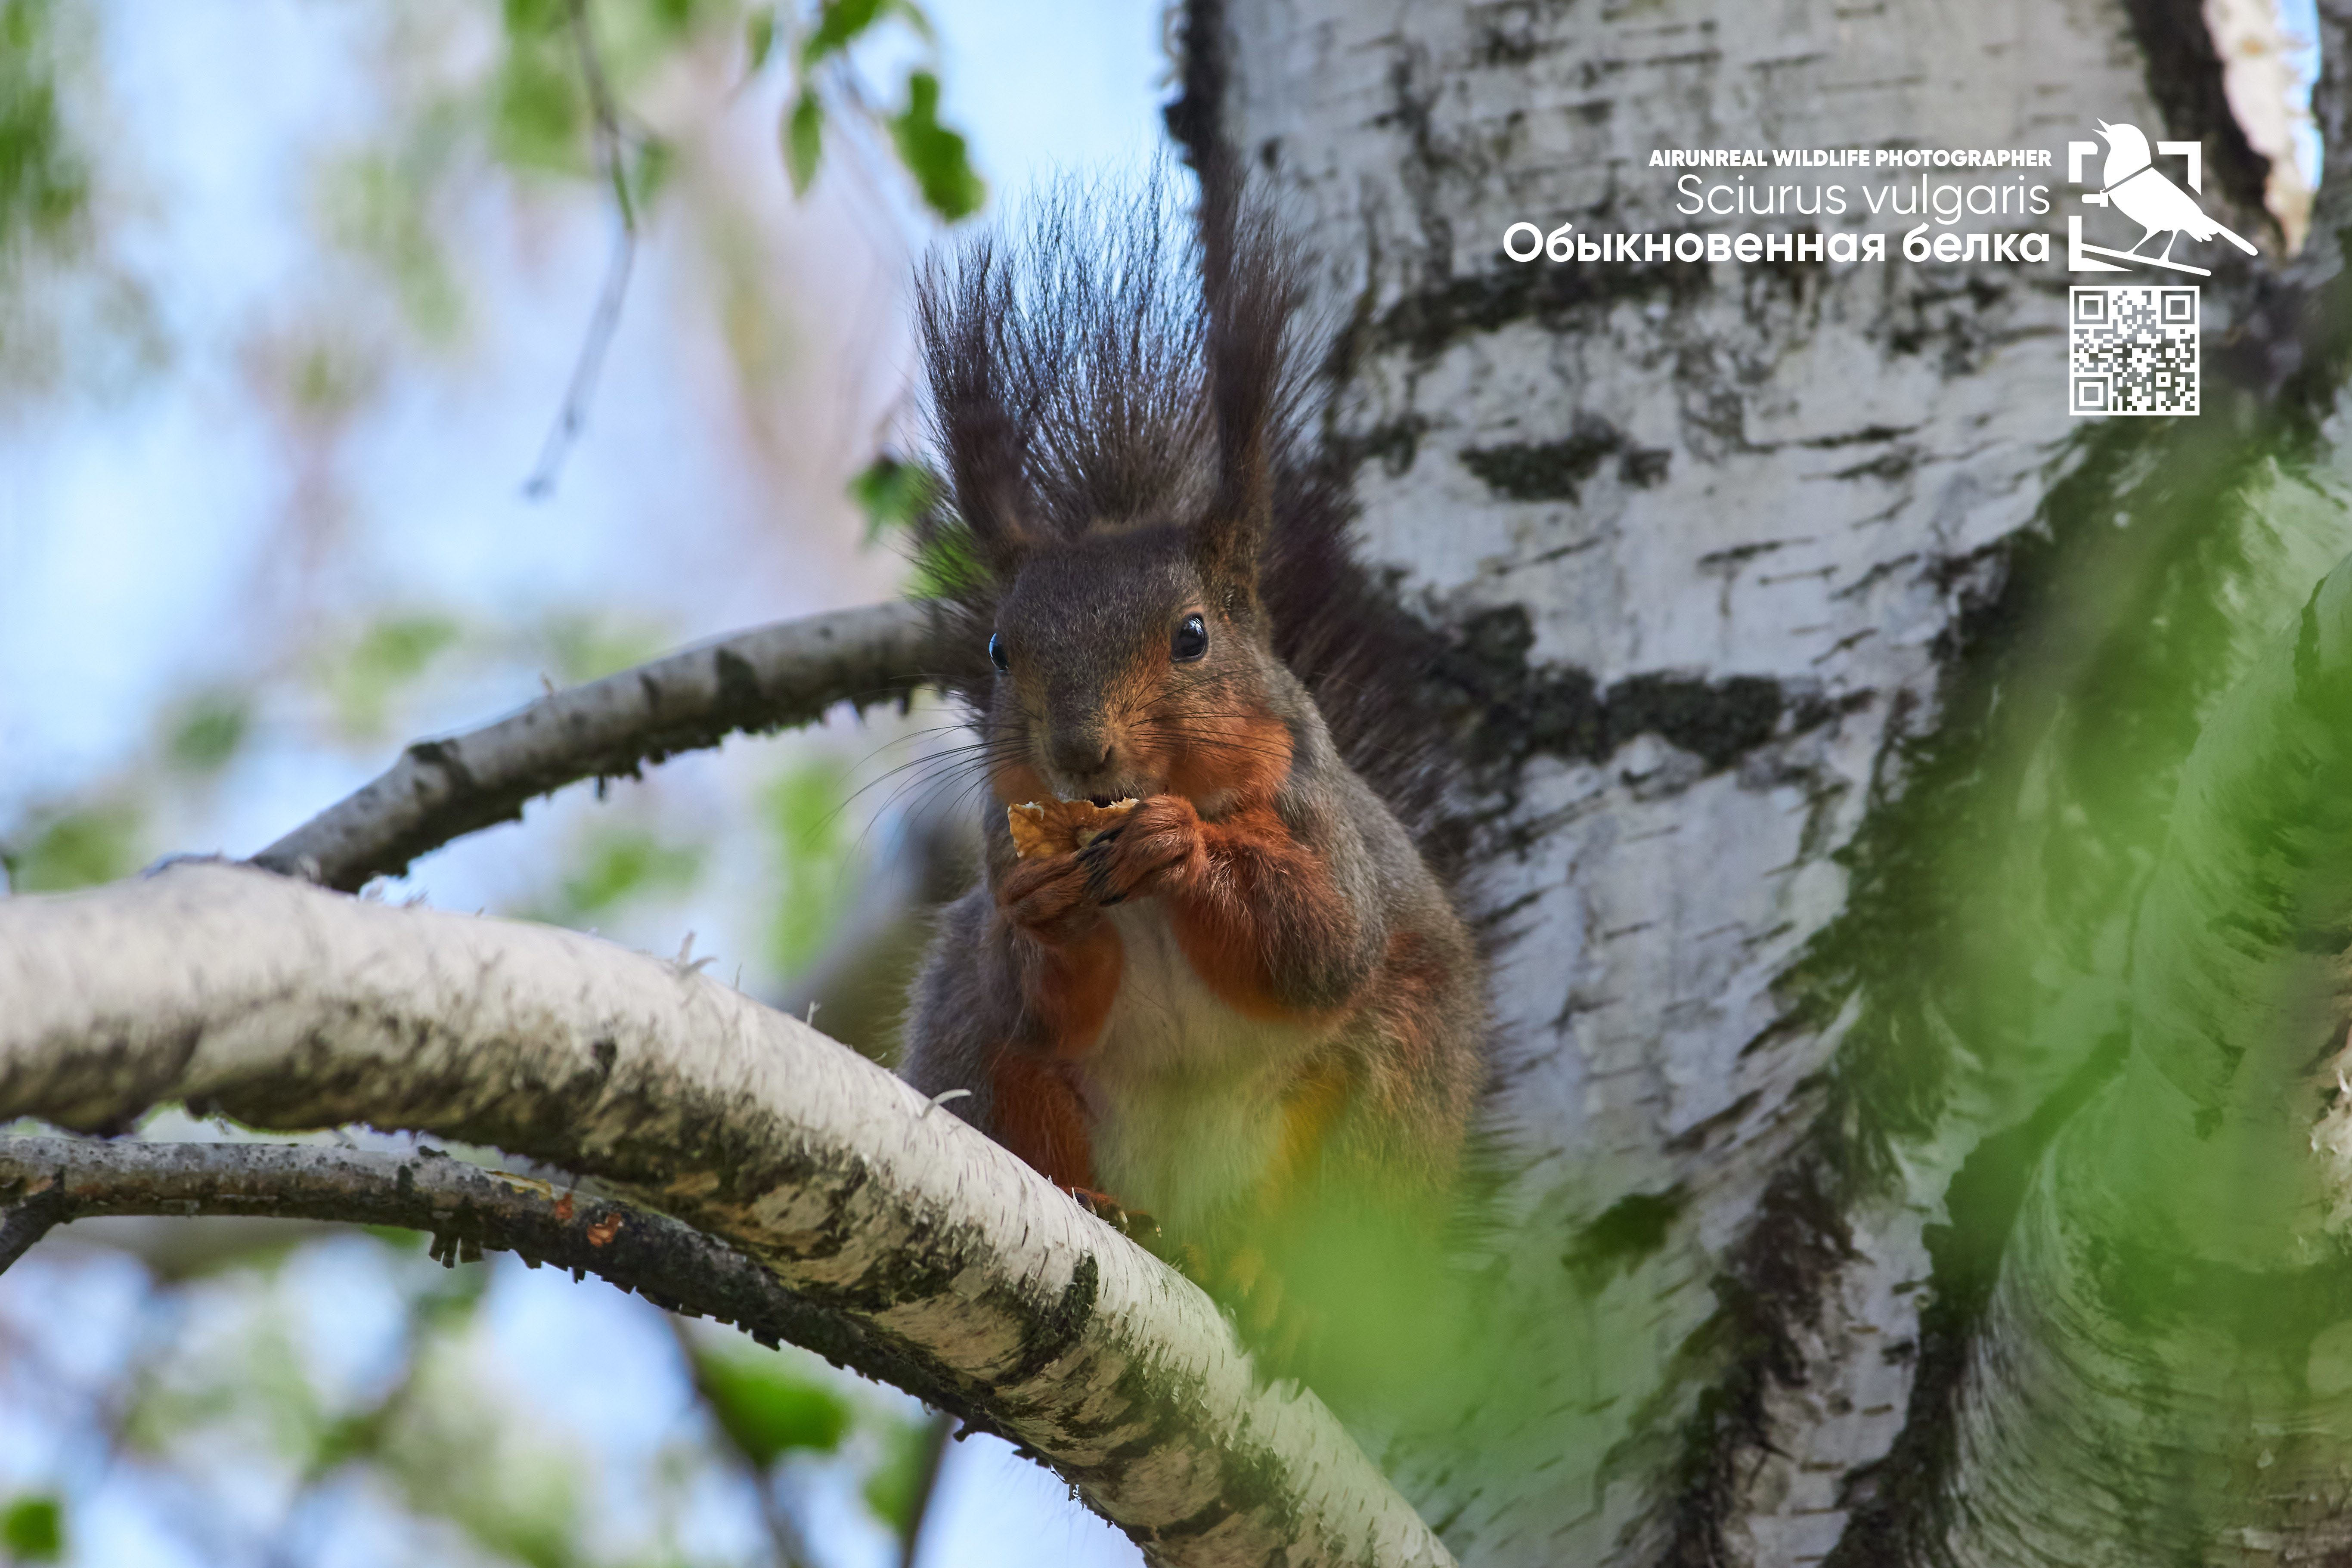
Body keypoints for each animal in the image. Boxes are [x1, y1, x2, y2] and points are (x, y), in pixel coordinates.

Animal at [898, 169, 1486, 1373]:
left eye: (1193, 636)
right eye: (999, 651)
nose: (1081, 752)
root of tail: (1196, 1229)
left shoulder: (1322, 829)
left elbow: (1316, 941)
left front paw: (1185, 845)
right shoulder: (997, 858)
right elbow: (1040, 998)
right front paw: (1049, 911)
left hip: (1387, 1108)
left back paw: (1282, 1295)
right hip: (979, 1062)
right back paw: (1101, 1209)